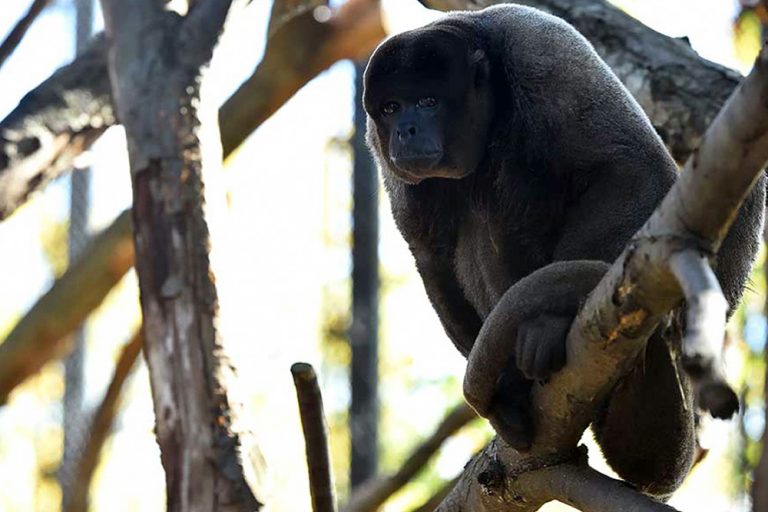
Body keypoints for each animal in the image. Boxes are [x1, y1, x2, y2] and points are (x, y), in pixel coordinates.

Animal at [362, 4, 765, 497]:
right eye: (391, 108)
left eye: (428, 102)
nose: (406, 130)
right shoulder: (380, 150)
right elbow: (430, 255)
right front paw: (508, 391)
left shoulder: (543, 51)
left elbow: (631, 168)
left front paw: (551, 324)